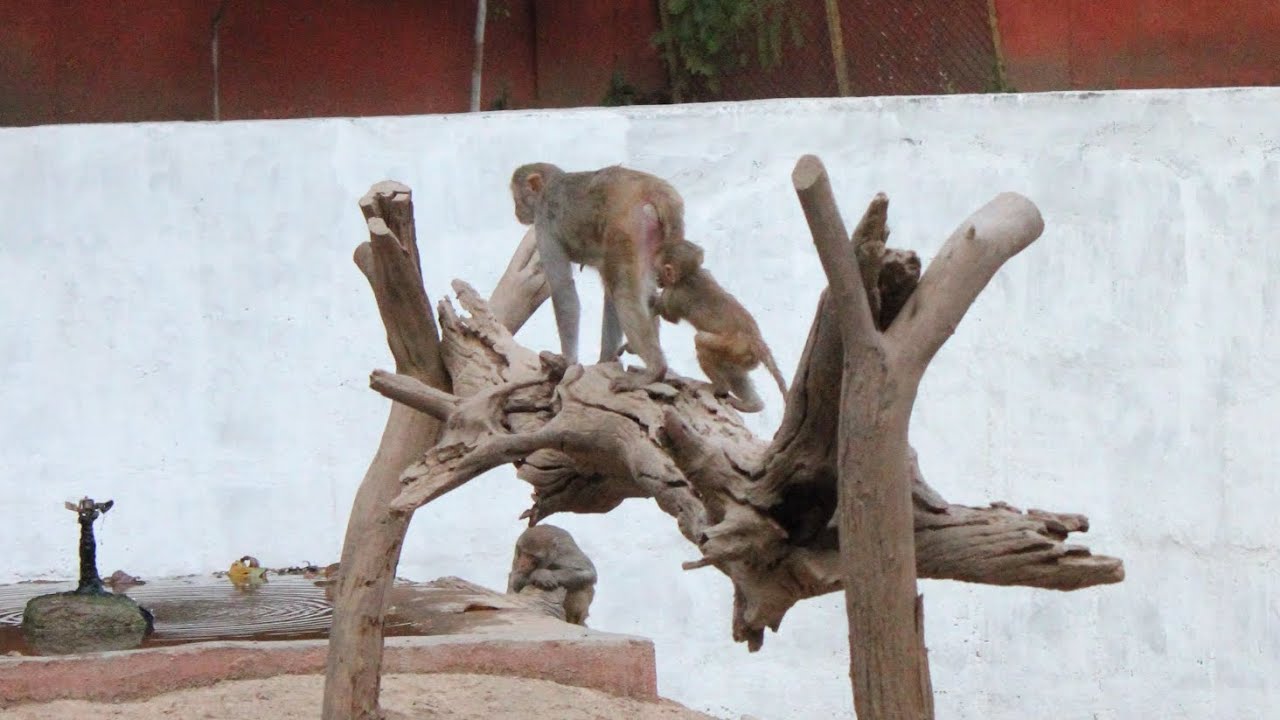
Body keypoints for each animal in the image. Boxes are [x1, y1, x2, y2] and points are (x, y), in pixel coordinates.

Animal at [510, 162, 685, 392]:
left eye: (516, 197)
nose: (516, 211)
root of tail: (655, 190)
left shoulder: (544, 225)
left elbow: (562, 289)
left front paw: (568, 361)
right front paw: (605, 360)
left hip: (628, 227)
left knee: (622, 292)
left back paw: (655, 370)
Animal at [649, 239, 788, 413]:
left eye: (658, 271)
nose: (656, 280)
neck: (690, 275)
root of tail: (756, 340)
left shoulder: (674, 295)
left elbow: (670, 317)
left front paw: (654, 301)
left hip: (734, 347)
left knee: (701, 341)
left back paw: (719, 388)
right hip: (745, 357)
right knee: (734, 371)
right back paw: (753, 405)